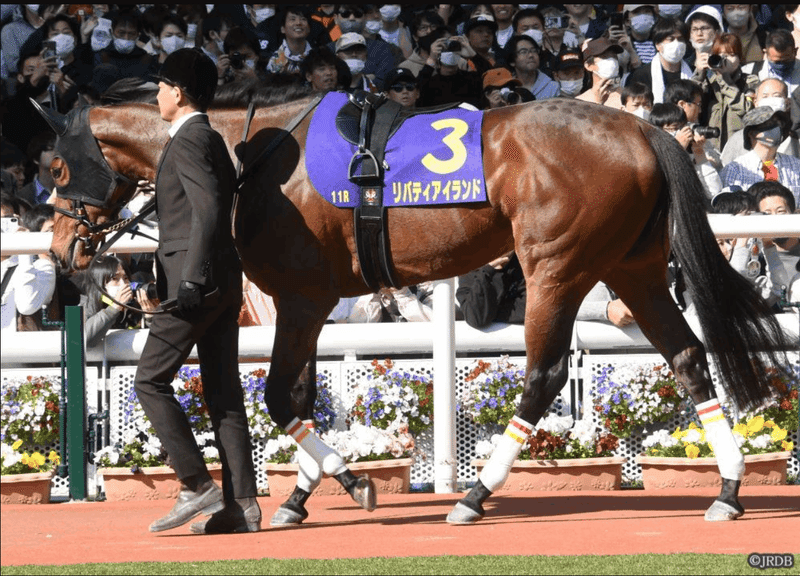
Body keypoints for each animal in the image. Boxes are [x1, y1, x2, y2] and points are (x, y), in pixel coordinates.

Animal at [38, 86, 791, 526]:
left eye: (59, 169)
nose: (60, 250)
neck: (253, 159)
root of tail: (639, 133)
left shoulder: (302, 296)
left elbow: (282, 396)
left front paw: (345, 483)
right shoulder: (313, 303)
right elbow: (300, 395)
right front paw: (301, 495)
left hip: (557, 266)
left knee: (545, 374)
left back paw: (475, 494)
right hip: (630, 267)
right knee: (688, 357)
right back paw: (727, 490)